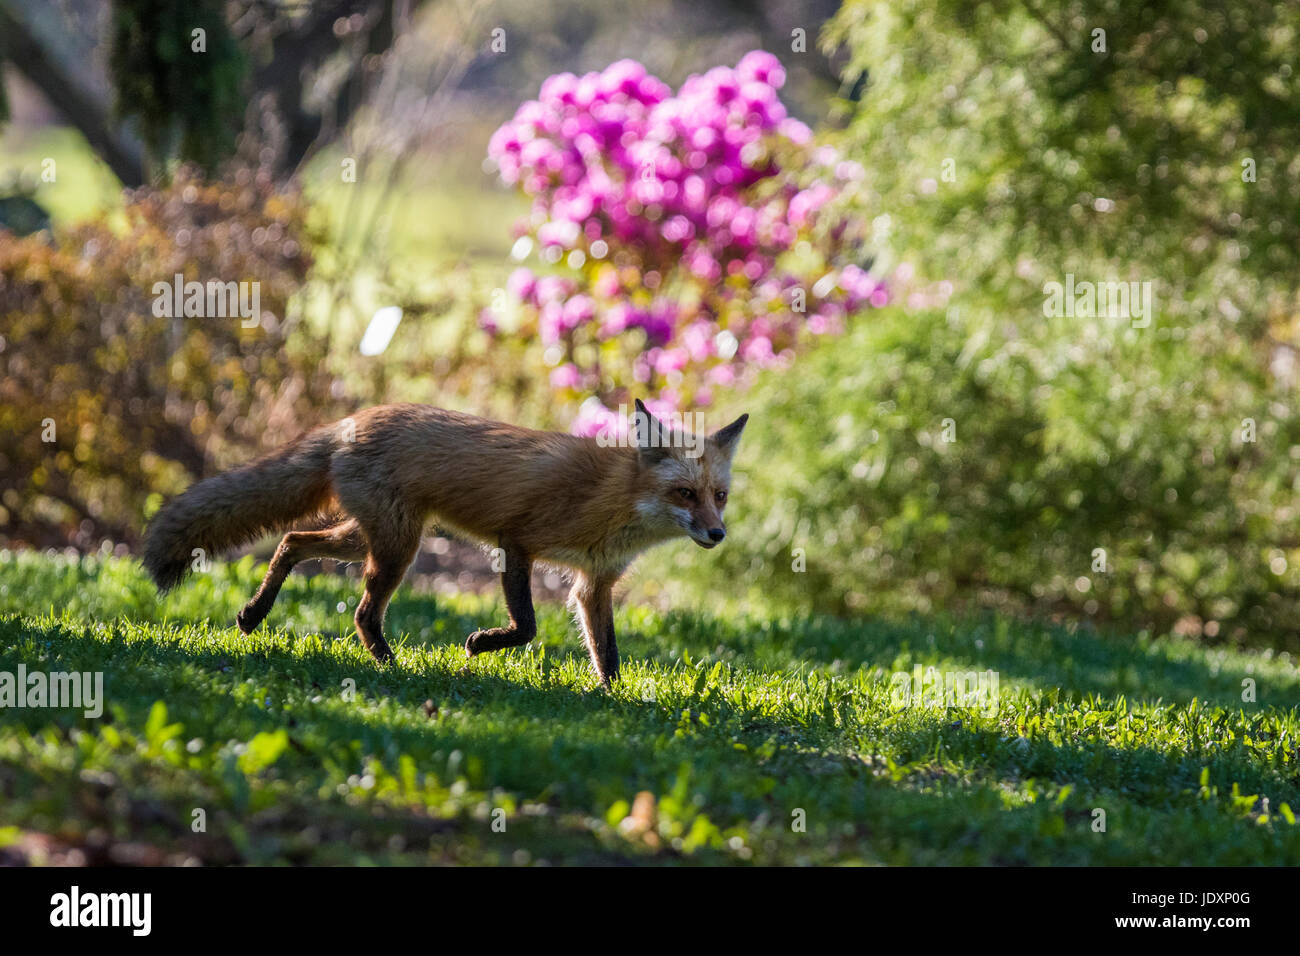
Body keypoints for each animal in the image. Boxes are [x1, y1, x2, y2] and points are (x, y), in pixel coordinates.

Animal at [141, 400, 747, 687]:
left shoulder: (593, 584)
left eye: (719, 495)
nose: (718, 534)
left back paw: (254, 613)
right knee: (362, 611)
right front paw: (481, 645)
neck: (613, 498)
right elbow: (528, 626)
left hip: (372, 537)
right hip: (398, 549)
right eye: (685, 493)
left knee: (293, 539)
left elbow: (609, 654)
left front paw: (612, 697)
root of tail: (351, 419)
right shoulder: (516, 541)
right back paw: (392, 664)